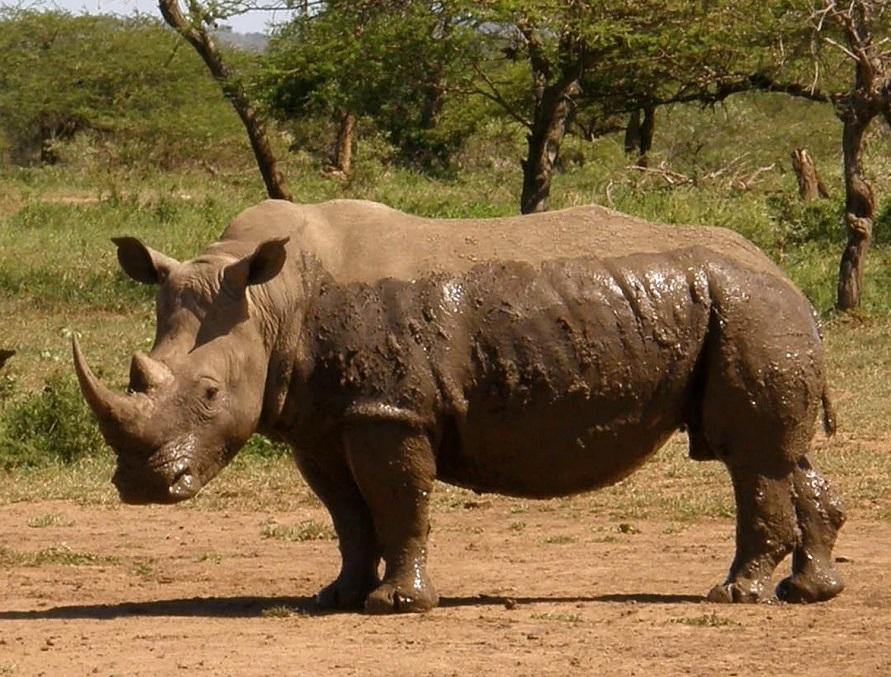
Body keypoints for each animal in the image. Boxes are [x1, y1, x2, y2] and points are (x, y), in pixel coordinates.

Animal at [73, 199, 845, 612]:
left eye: (209, 394)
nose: (141, 487)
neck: (270, 301)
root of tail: (783, 274)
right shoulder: (322, 419)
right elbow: (347, 515)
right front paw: (335, 597)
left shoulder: (389, 409)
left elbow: (397, 501)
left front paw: (396, 605)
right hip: (752, 311)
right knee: (786, 455)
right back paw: (808, 592)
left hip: (748, 307)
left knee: (748, 457)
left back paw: (735, 595)